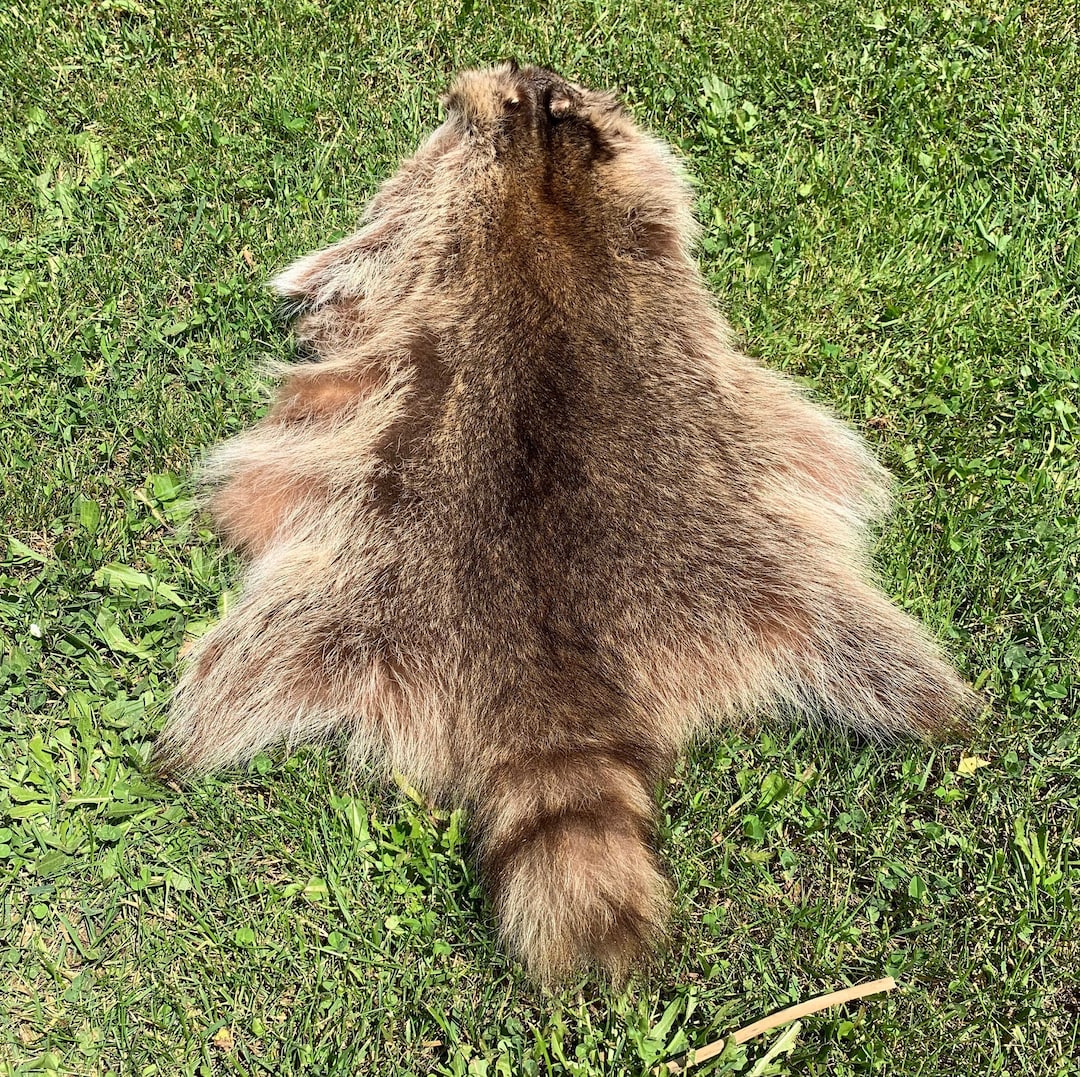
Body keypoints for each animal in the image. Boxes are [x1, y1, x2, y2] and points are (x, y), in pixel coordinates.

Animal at [156, 61, 975, 984]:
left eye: (541, 84)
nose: (514, 65)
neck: (538, 169)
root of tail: (547, 665)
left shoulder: (435, 208)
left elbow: (359, 261)